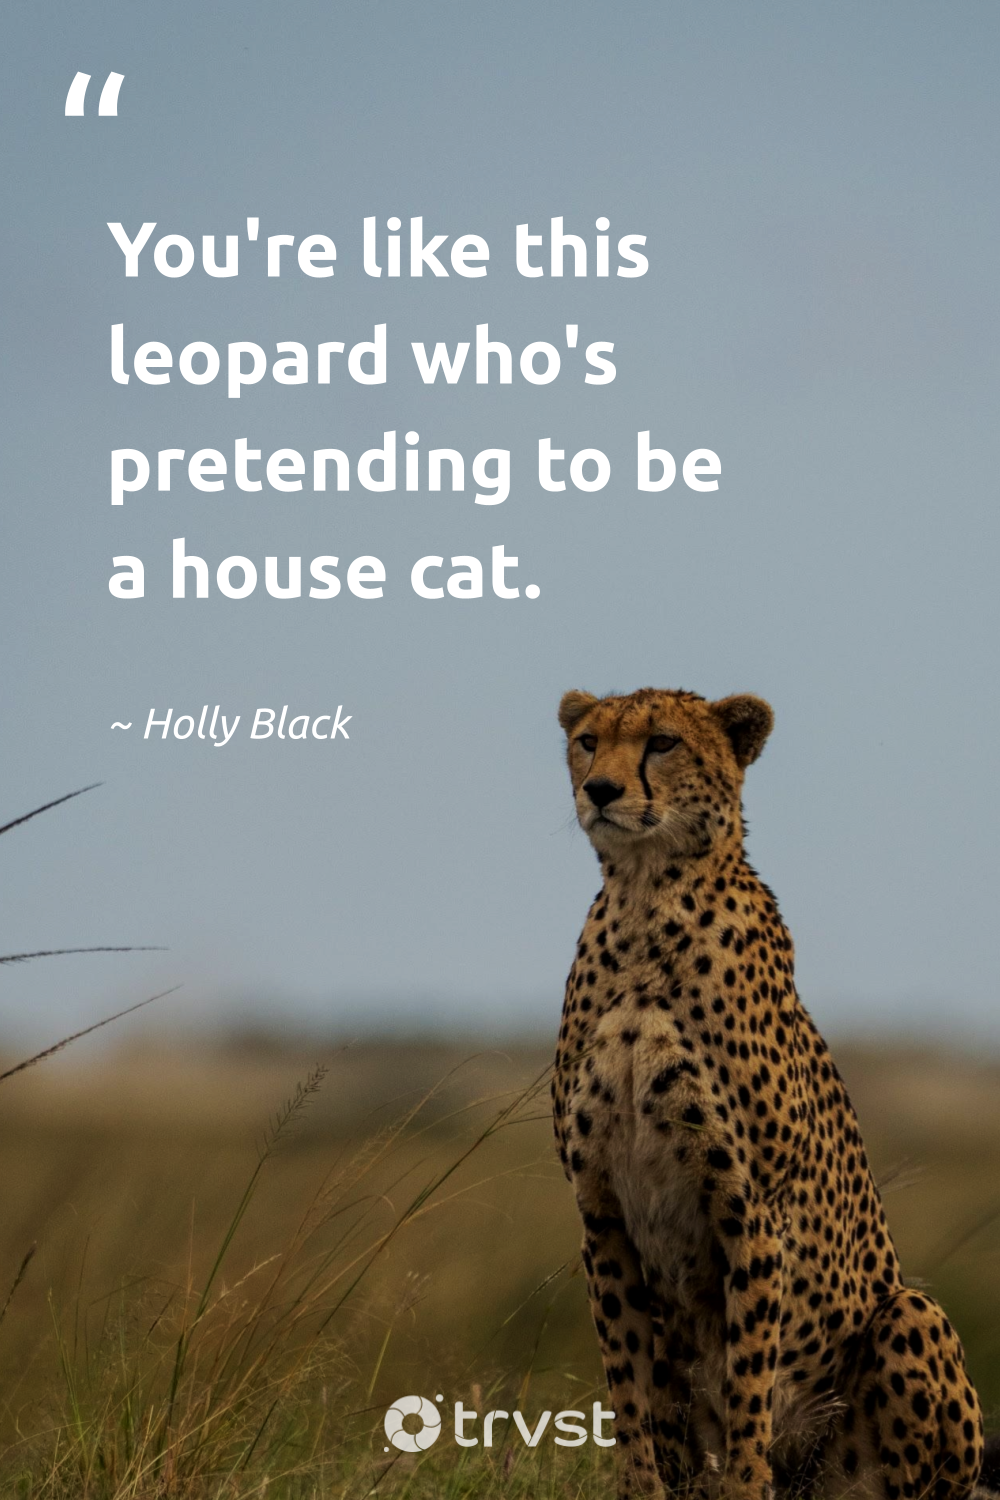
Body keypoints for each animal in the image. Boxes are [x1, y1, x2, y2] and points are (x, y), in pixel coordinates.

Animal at [552, 685, 986, 1500]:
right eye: (589, 741)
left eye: (662, 742)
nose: (600, 790)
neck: (644, 901)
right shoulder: (601, 1208)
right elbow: (627, 1381)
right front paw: (639, 1486)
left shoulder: (750, 1205)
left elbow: (749, 1372)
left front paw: (746, 1485)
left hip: (910, 1317)